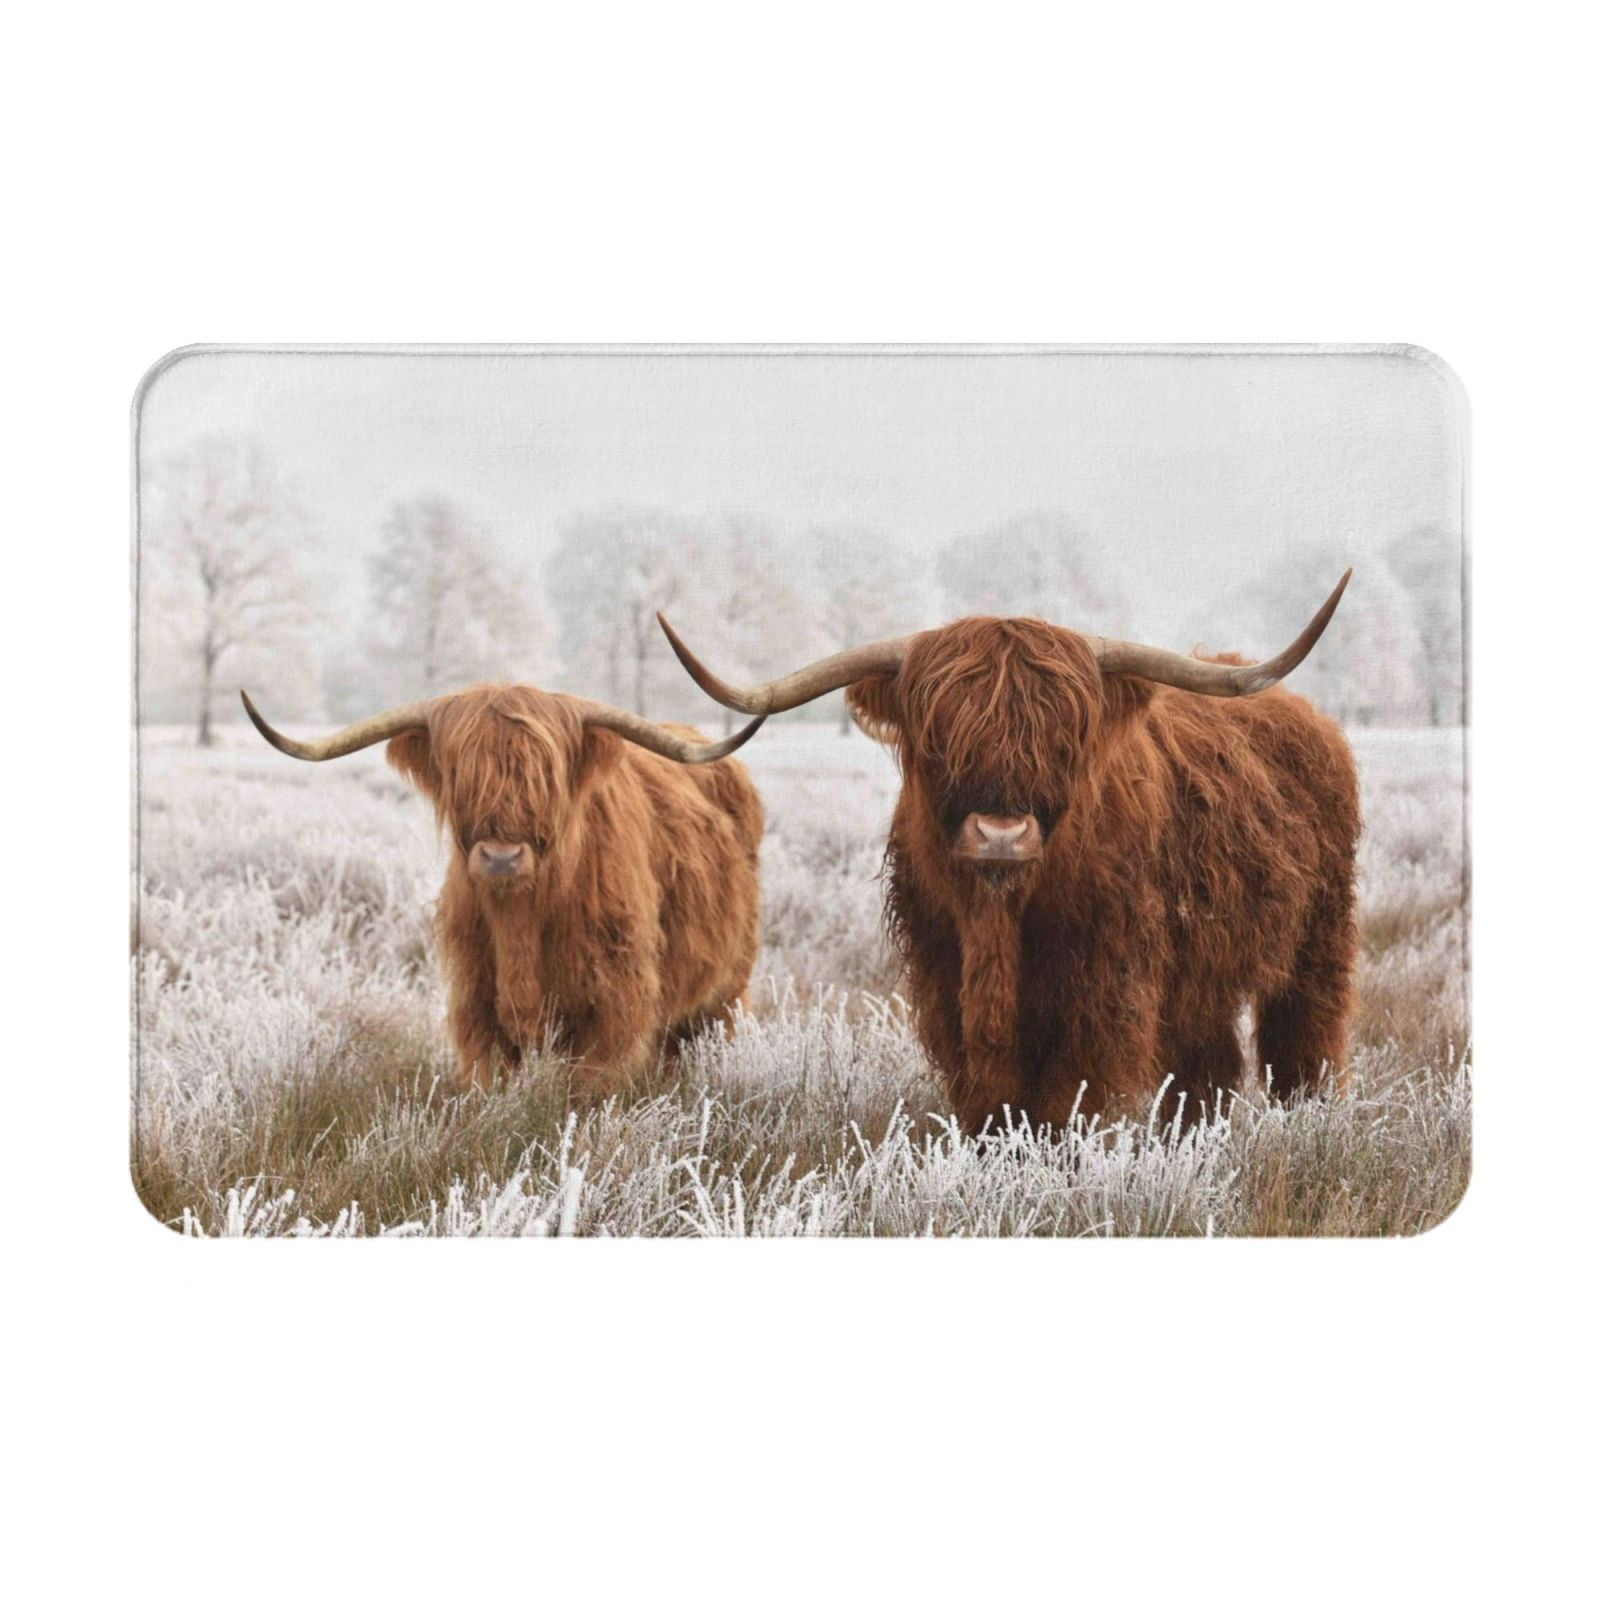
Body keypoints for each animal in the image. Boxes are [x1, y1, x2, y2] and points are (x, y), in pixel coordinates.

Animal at [241, 685, 765, 1097]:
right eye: (461, 774)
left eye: (545, 777)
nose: (500, 857)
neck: (521, 919)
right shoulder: (477, 1004)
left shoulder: (613, 1006)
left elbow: (587, 1092)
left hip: (724, 991)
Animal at [658, 573, 1359, 1133]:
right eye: (938, 738)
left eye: (1064, 738)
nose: (1000, 835)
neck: (999, 920)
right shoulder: (945, 980)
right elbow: (988, 1100)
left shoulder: (1106, 988)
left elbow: (1068, 1100)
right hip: (1204, 973)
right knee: (1208, 1065)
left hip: (1319, 938)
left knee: (1304, 1041)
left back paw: (1307, 1125)